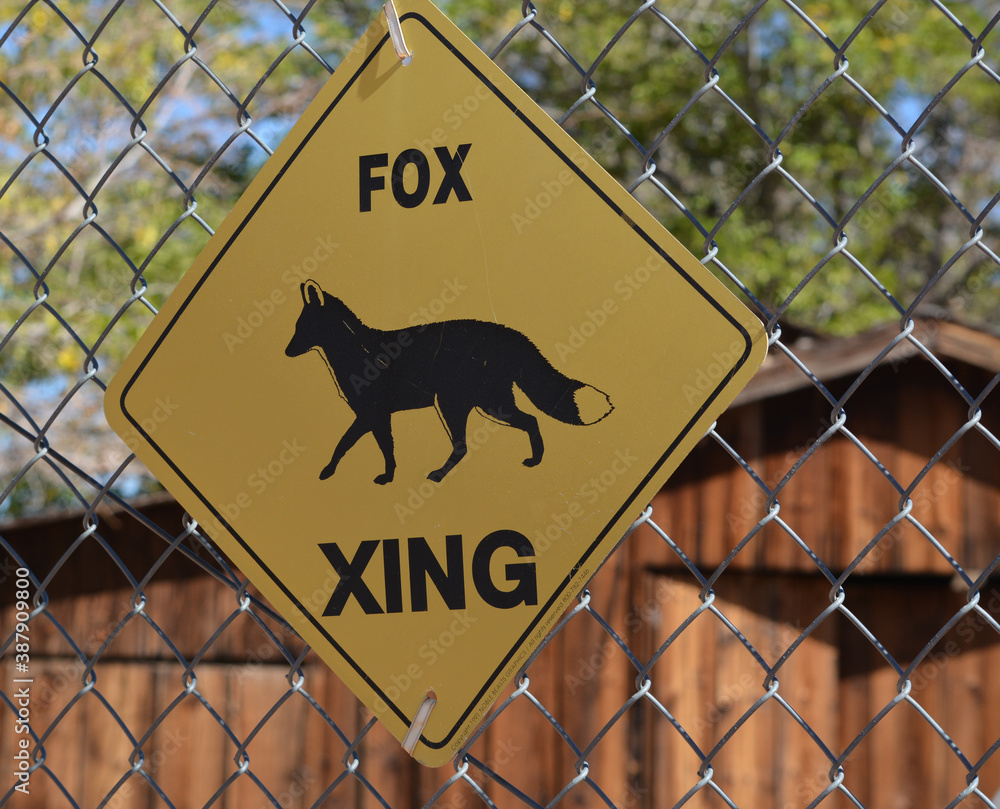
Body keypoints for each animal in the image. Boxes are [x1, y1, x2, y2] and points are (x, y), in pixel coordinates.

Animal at [285, 280, 613, 485]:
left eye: (302, 325)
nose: (286, 351)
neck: (359, 350)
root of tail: (510, 332)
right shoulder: (377, 416)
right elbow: (383, 448)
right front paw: (387, 477)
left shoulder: (370, 413)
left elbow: (345, 443)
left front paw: (329, 472)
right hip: (487, 403)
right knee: (530, 421)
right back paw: (536, 460)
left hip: (463, 404)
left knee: (466, 445)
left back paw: (441, 475)